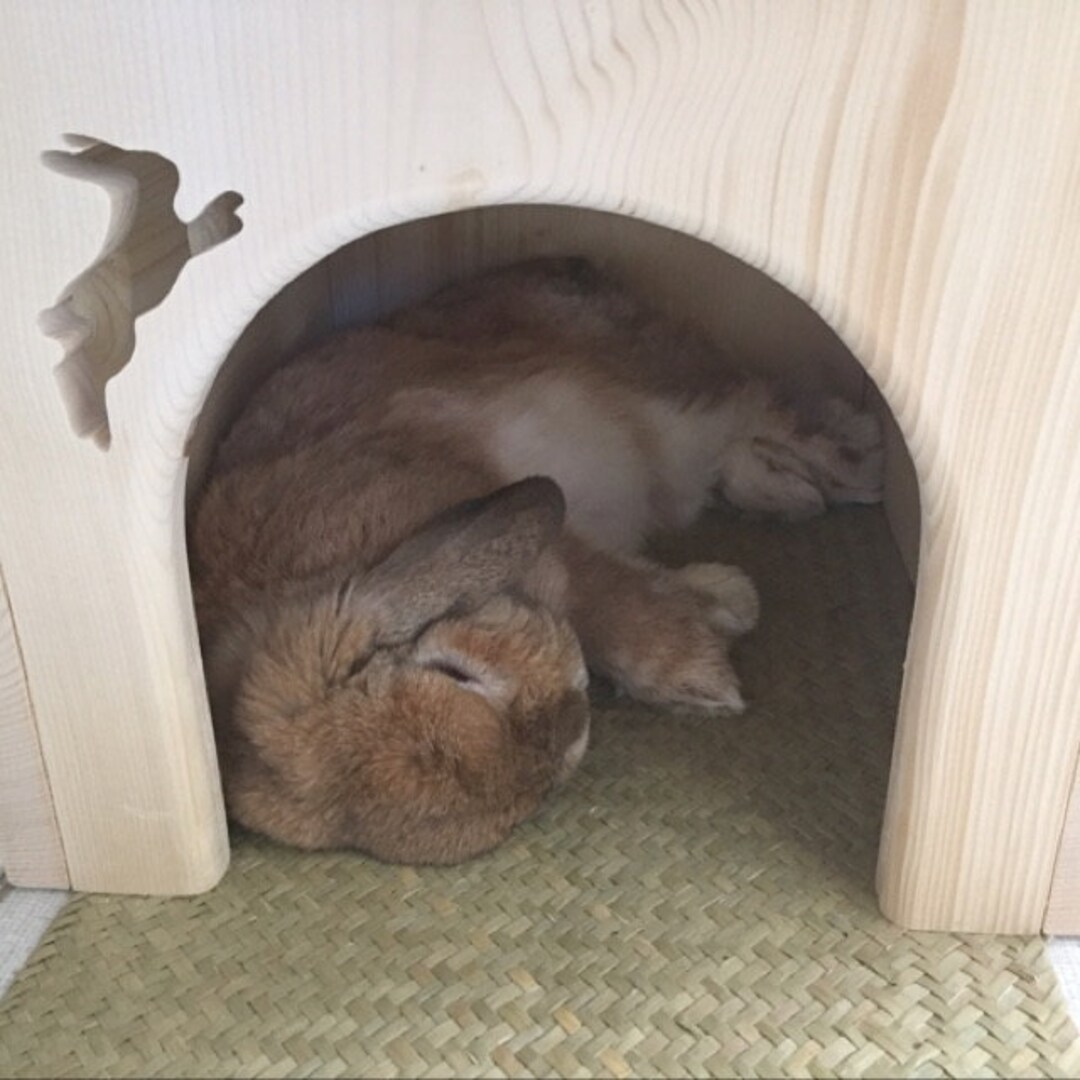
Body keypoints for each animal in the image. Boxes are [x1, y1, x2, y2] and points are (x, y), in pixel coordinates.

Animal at [190, 256, 883, 864]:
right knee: (738, 442)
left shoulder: (549, 541)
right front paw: (725, 602)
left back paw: (859, 468)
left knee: (764, 406)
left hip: (655, 386)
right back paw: (787, 493)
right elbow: (636, 593)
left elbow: (619, 610)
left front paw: (703, 676)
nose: (574, 724)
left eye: (453, 673)